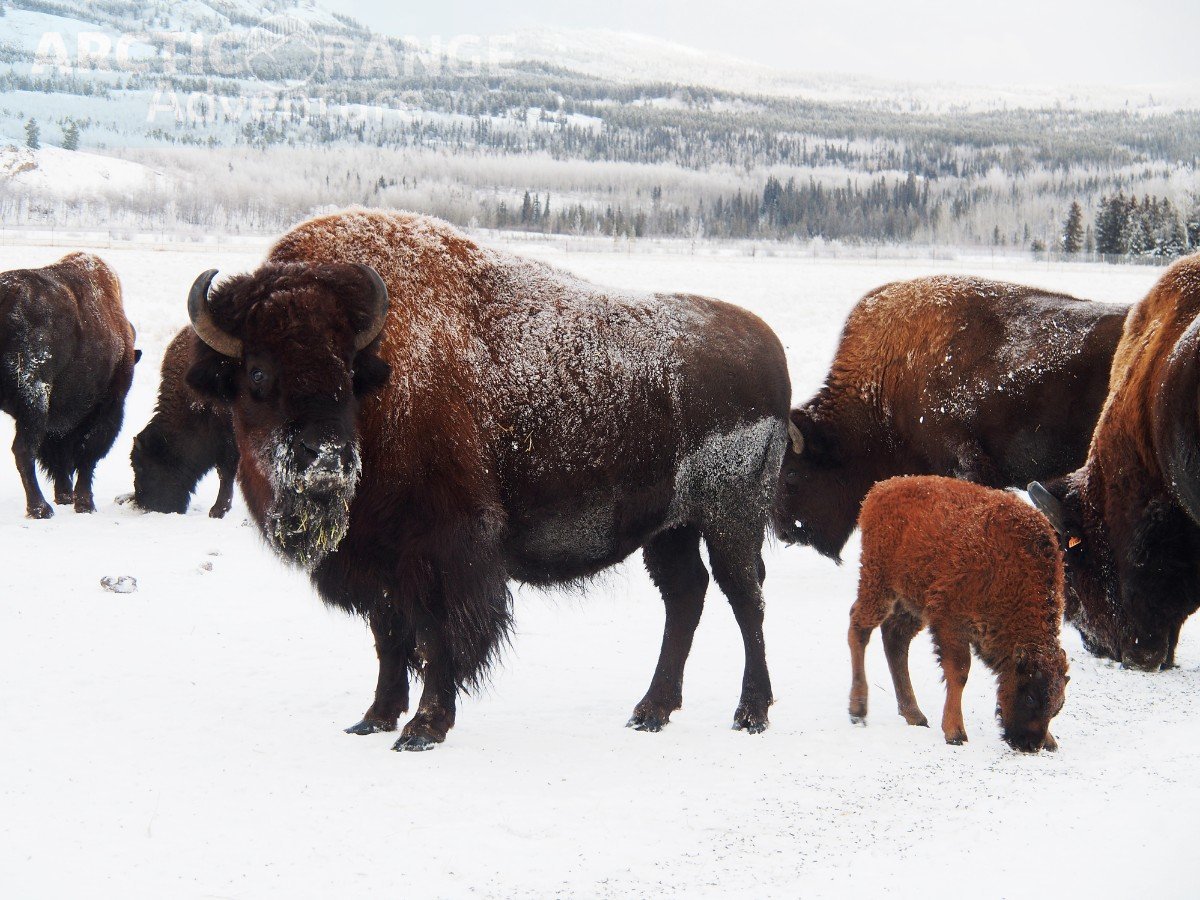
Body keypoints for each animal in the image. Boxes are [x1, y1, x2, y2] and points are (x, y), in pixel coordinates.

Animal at [0, 252, 138, 518]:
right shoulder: (107, 409)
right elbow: (87, 455)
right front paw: (85, 504)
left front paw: (65, 496)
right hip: (35, 396)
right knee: (23, 450)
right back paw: (41, 508)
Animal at [183, 209, 792, 750]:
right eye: (257, 373)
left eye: (347, 372)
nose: (326, 459)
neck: (384, 375)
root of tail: (769, 347)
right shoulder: (377, 558)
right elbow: (389, 635)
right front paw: (374, 718)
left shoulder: (441, 548)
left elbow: (436, 635)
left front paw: (423, 728)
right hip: (671, 528)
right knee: (686, 596)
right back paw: (651, 711)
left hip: (730, 518)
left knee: (745, 597)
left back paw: (751, 714)